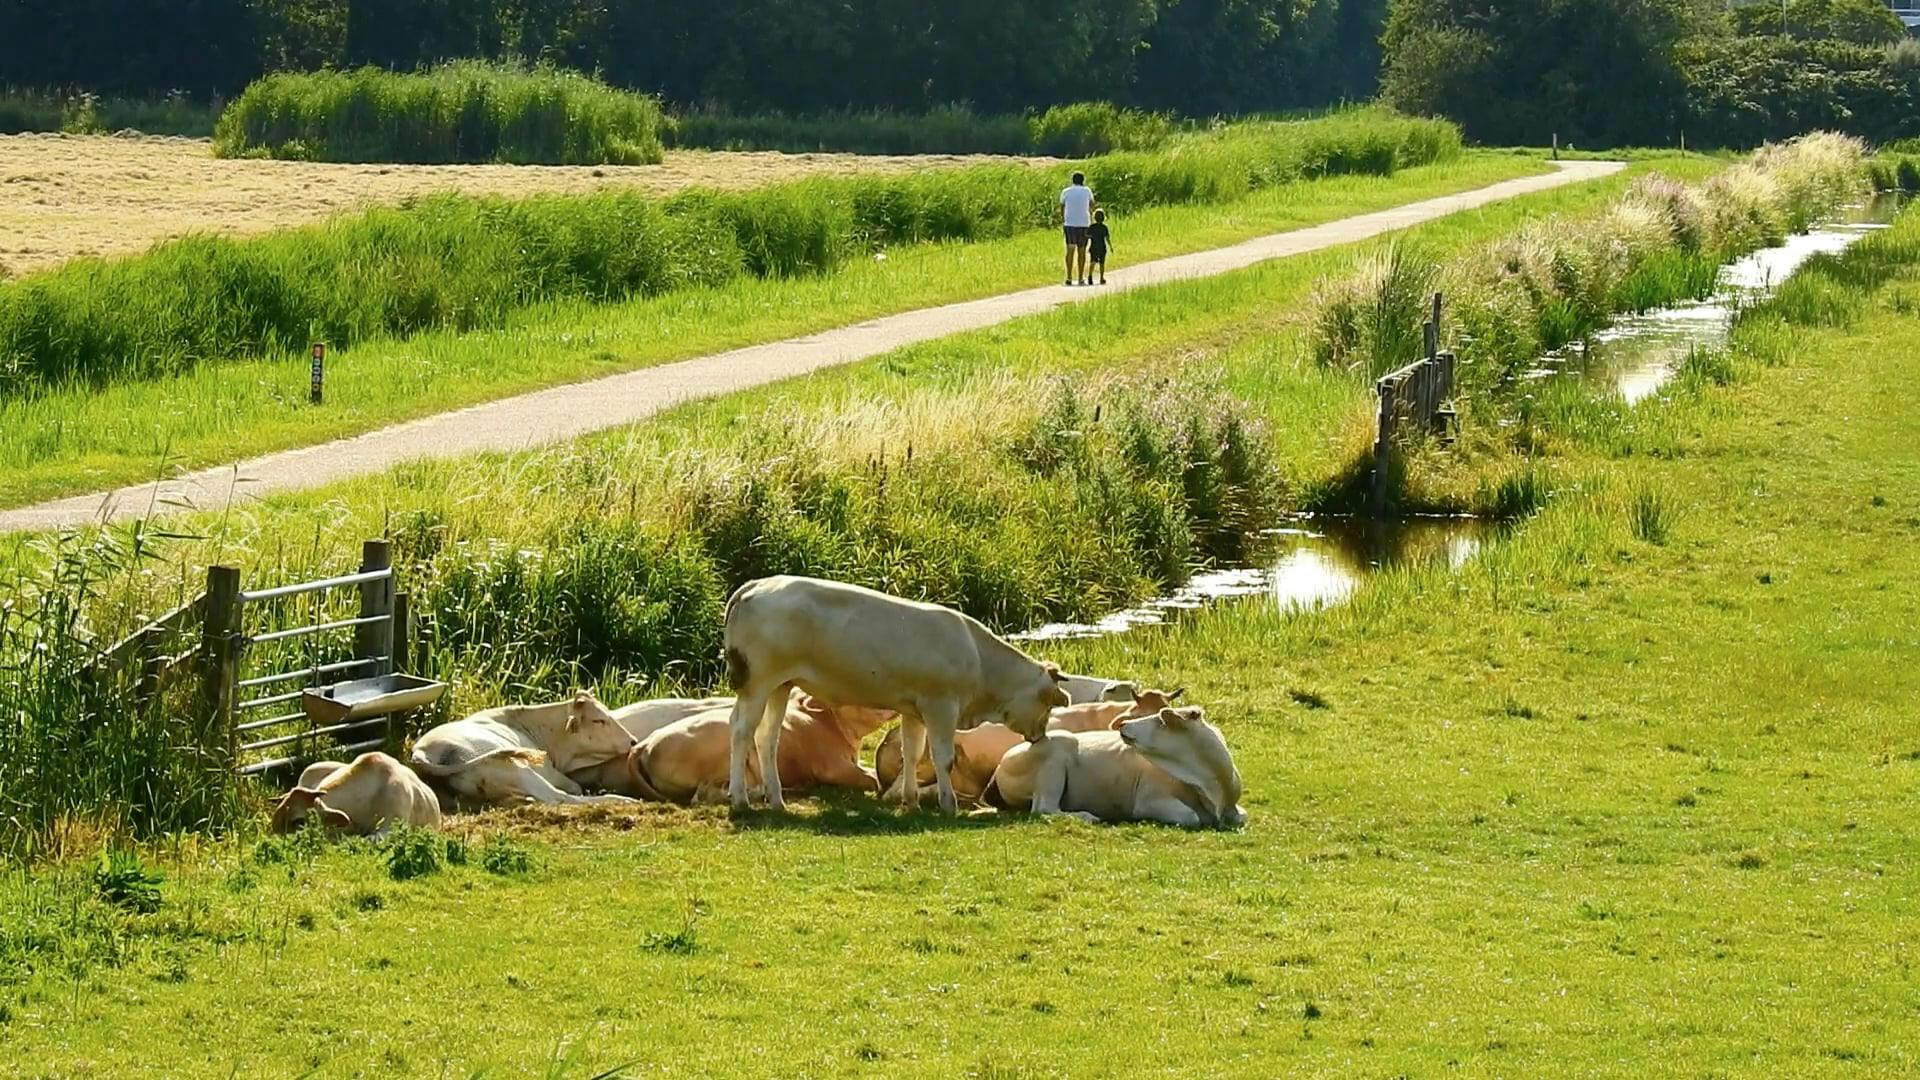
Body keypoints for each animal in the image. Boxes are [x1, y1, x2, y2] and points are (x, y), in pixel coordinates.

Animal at [409, 691, 639, 807]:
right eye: (598, 720)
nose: (633, 741)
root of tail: (422, 751)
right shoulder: (549, 770)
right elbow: (574, 788)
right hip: (518, 768)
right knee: (559, 797)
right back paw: (621, 800)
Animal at [722, 575, 1072, 815]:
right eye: (1048, 705)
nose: (1040, 736)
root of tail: (756, 584)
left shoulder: (914, 709)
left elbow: (912, 753)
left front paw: (911, 800)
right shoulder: (941, 705)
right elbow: (943, 758)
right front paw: (948, 804)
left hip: (780, 685)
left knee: (767, 738)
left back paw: (776, 799)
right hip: (757, 683)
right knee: (741, 731)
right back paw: (740, 799)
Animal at [984, 706, 1246, 828]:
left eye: (1159, 721)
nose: (1124, 725)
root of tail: (999, 767)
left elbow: (1243, 816)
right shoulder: (1148, 801)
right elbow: (1191, 817)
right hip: (1057, 754)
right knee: (1044, 808)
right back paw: (1089, 816)